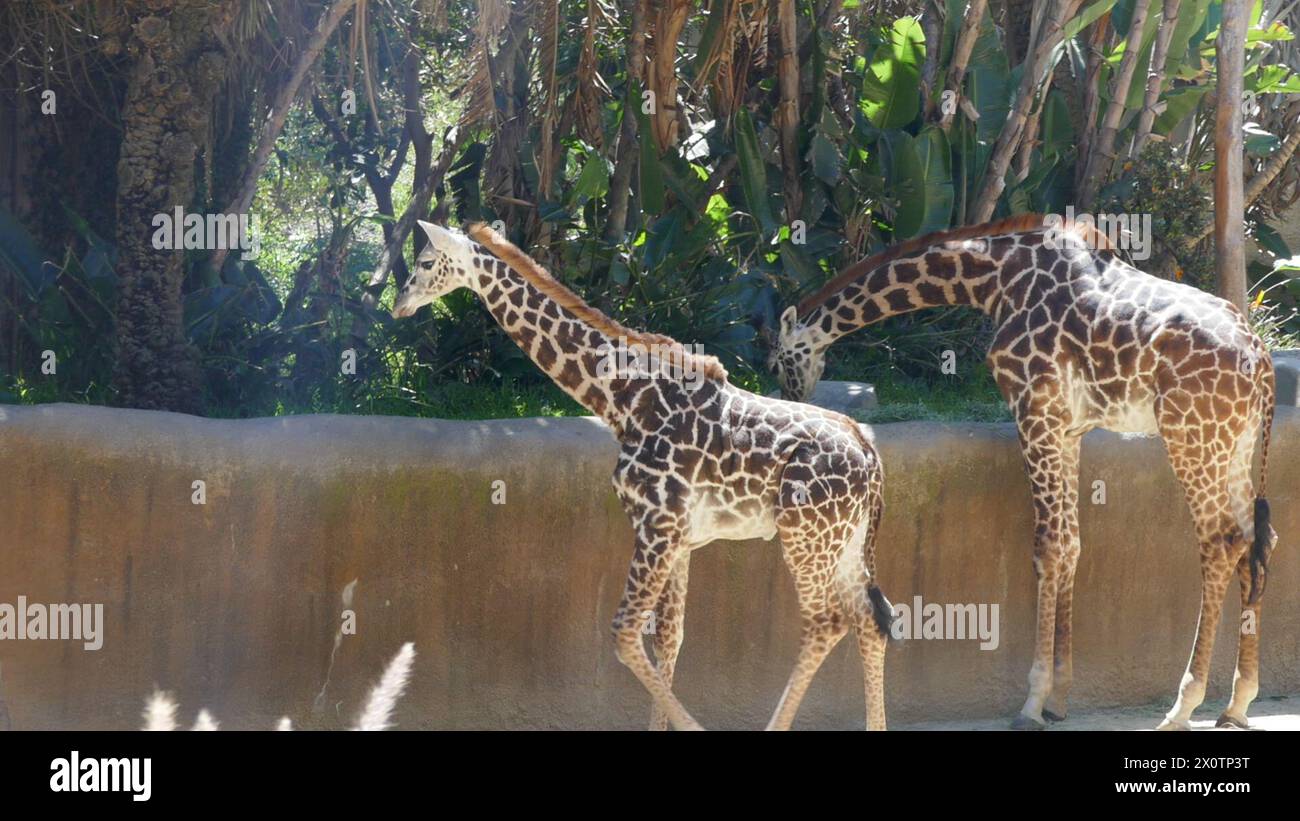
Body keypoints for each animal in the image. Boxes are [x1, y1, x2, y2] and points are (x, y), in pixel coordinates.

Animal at [391, 220, 897, 730]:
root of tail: (868, 452)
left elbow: (624, 633)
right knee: (870, 618)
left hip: (805, 536)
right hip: (843, 541)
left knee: (826, 622)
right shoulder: (681, 537)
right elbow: (669, 636)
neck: (622, 397)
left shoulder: (657, 524)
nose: (400, 303)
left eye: (426, 262)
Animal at [764, 213, 1278, 730]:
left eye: (778, 360)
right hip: (1237, 443)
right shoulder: (1068, 428)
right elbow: (1071, 544)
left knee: (1220, 542)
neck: (994, 278)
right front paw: (1059, 698)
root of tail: (1262, 359)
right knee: (1256, 538)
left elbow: (1050, 546)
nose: (792, 396)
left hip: (1191, 436)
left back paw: (1183, 705)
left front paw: (1032, 702)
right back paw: (1238, 701)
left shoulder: (1033, 410)